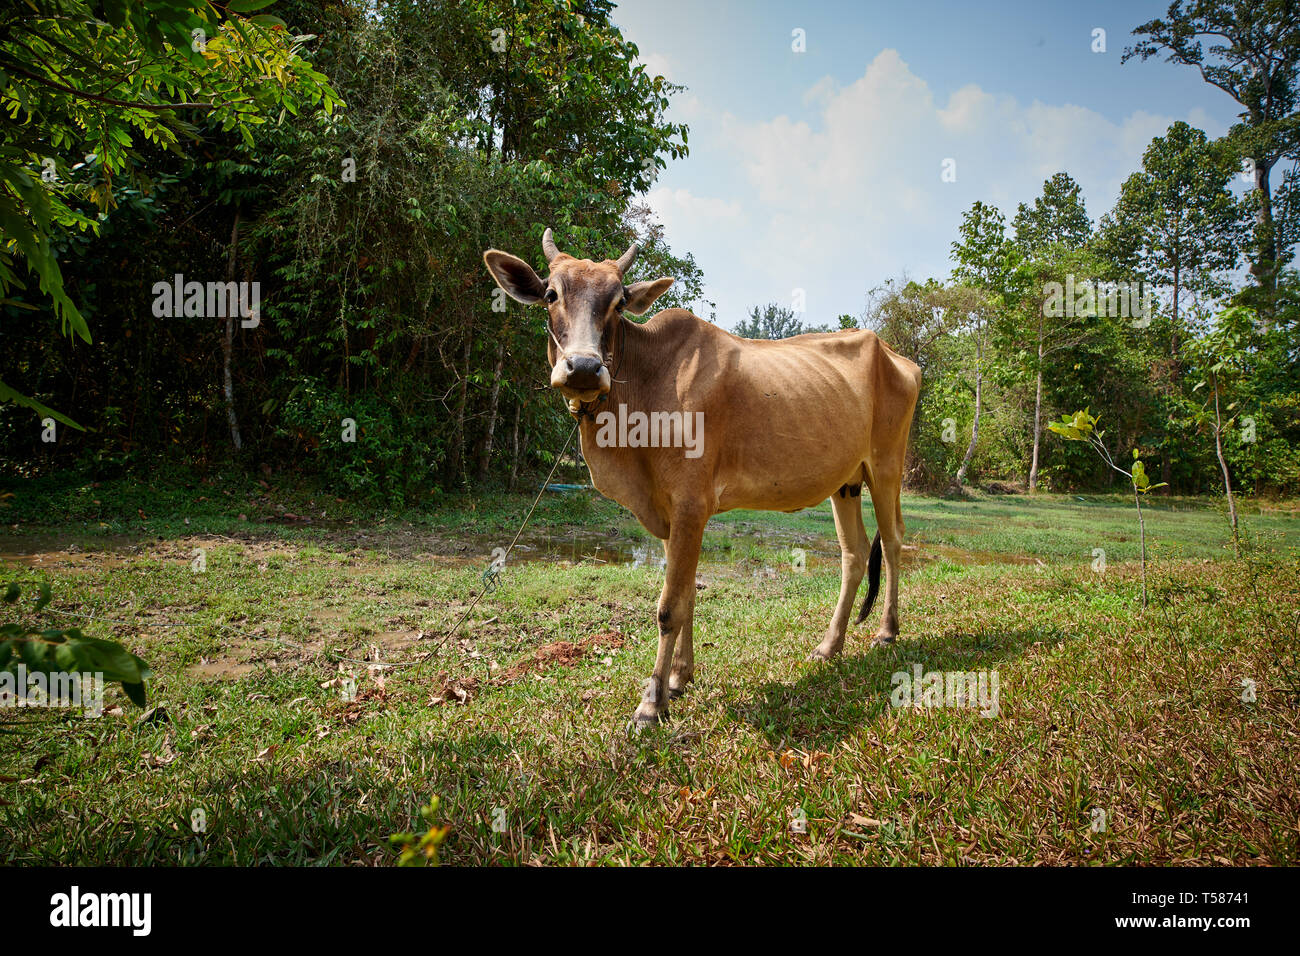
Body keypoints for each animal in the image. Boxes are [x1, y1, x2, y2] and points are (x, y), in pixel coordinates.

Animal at [483, 230, 922, 728]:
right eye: (552, 294)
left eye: (618, 302)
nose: (584, 368)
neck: (646, 384)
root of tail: (897, 357)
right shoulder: (670, 515)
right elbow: (688, 594)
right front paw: (679, 678)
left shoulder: (692, 505)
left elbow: (669, 607)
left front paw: (652, 703)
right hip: (845, 483)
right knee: (854, 554)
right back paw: (829, 646)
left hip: (885, 468)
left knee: (892, 542)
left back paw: (887, 632)